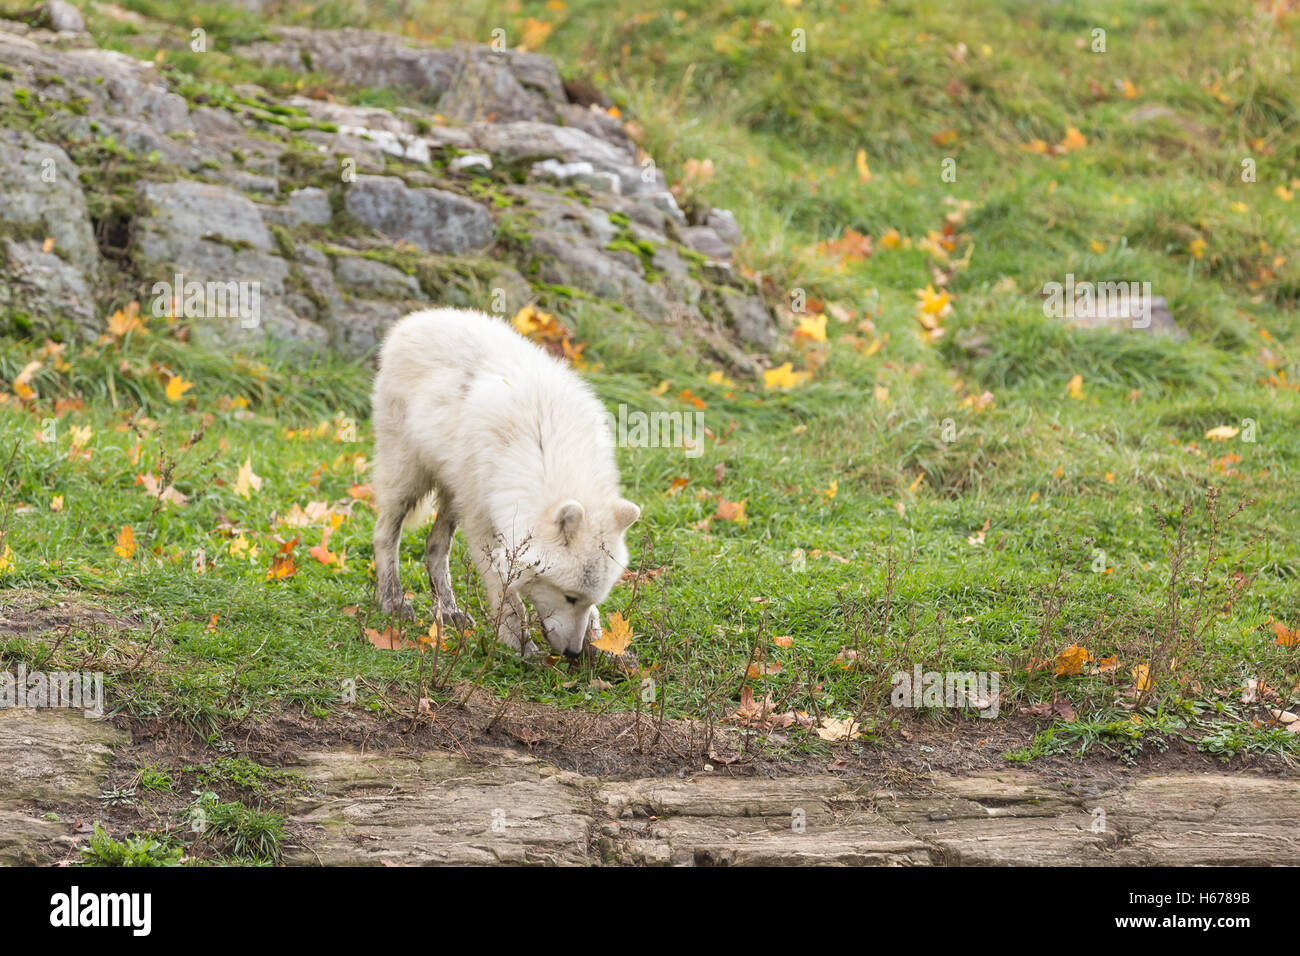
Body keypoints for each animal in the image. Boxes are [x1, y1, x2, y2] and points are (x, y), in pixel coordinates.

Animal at [370, 308, 640, 659]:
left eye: (587, 599)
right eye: (568, 597)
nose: (572, 653)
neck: (545, 447)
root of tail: (417, 319)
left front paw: (600, 641)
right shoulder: (483, 522)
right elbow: (508, 597)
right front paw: (520, 644)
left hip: (454, 495)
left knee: (434, 546)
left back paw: (449, 612)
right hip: (409, 478)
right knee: (385, 535)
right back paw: (393, 600)